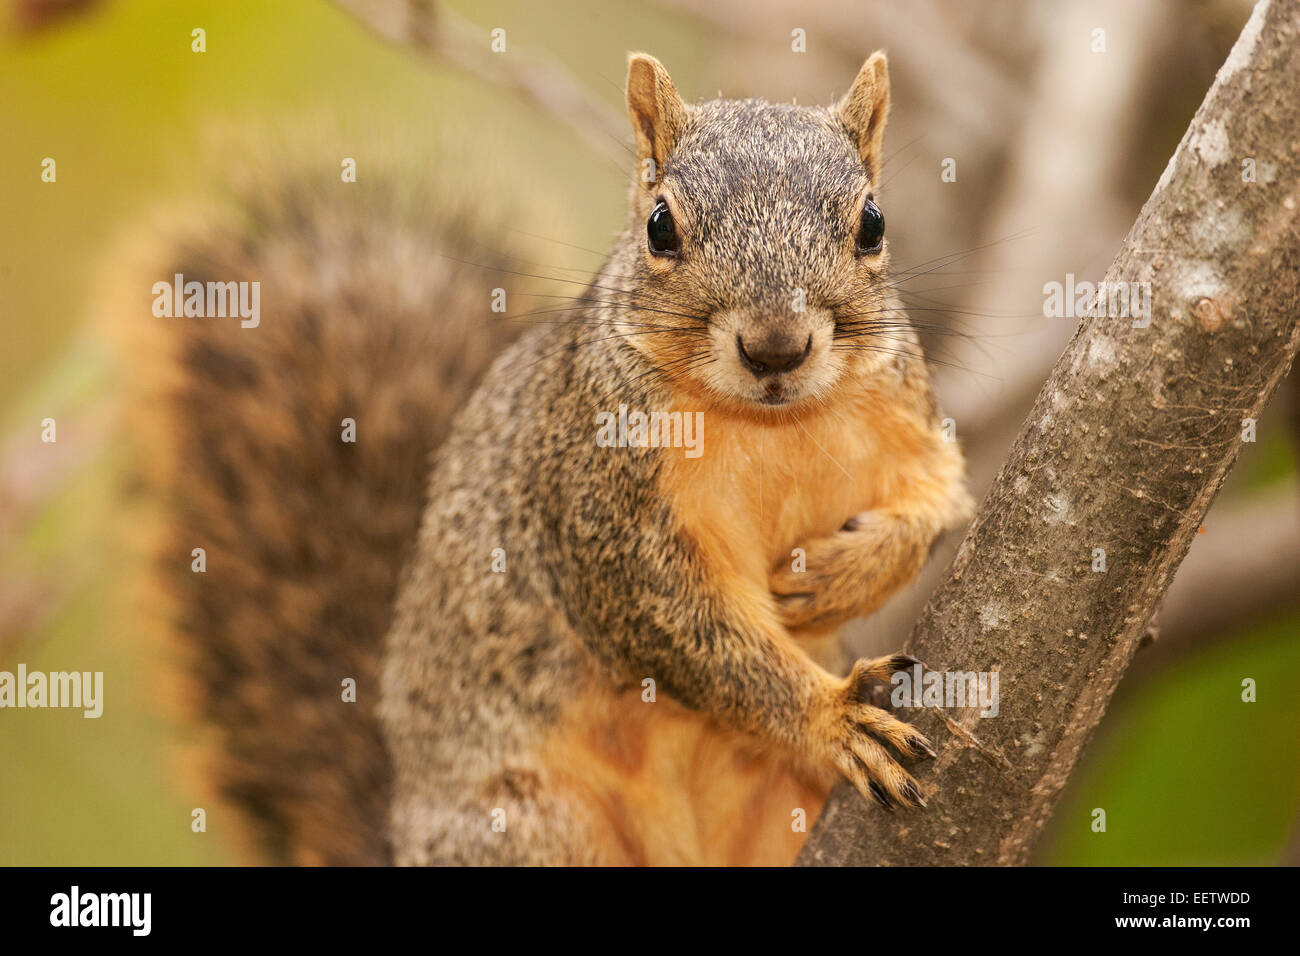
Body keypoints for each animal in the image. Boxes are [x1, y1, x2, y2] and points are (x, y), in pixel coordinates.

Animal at [116, 50, 977, 868]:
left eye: (872, 223)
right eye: (660, 226)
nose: (775, 348)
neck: (771, 425)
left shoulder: (903, 416)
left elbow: (942, 500)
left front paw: (840, 577)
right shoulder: (602, 520)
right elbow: (695, 640)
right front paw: (829, 717)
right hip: (536, 824)